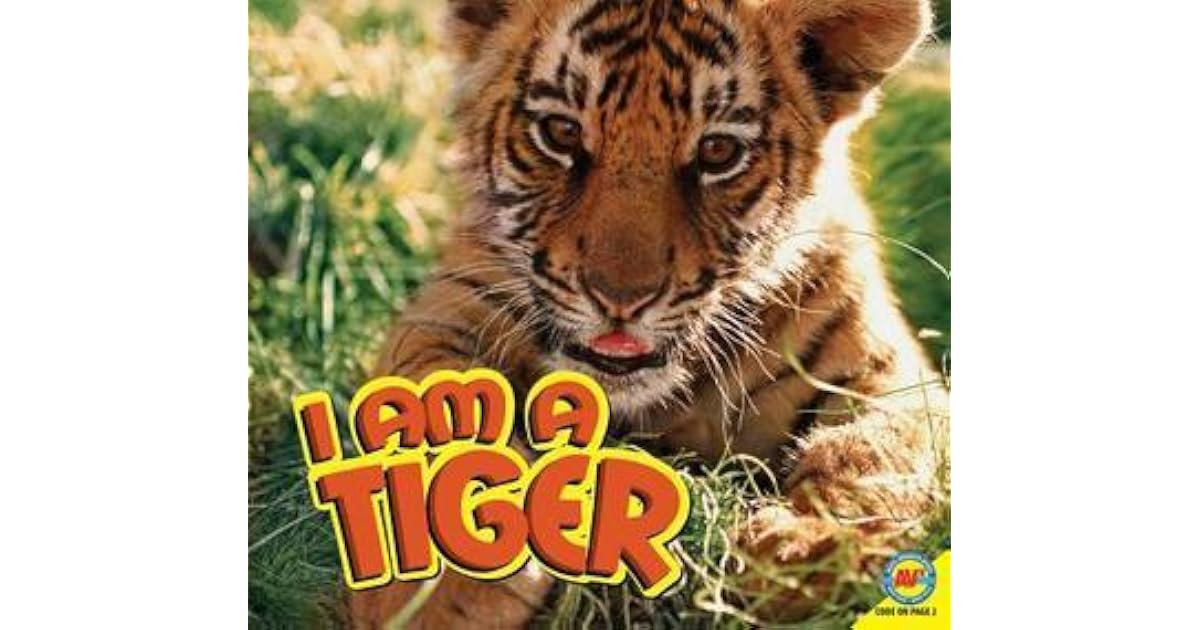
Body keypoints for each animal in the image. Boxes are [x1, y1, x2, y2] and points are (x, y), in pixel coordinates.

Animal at [349, 0, 948, 627]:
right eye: (561, 132)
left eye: (717, 152)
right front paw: (436, 591)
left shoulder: (889, 370)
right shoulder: (447, 310)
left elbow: (872, 448)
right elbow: (433, 409)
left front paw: (802, 549)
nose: (619, 298)